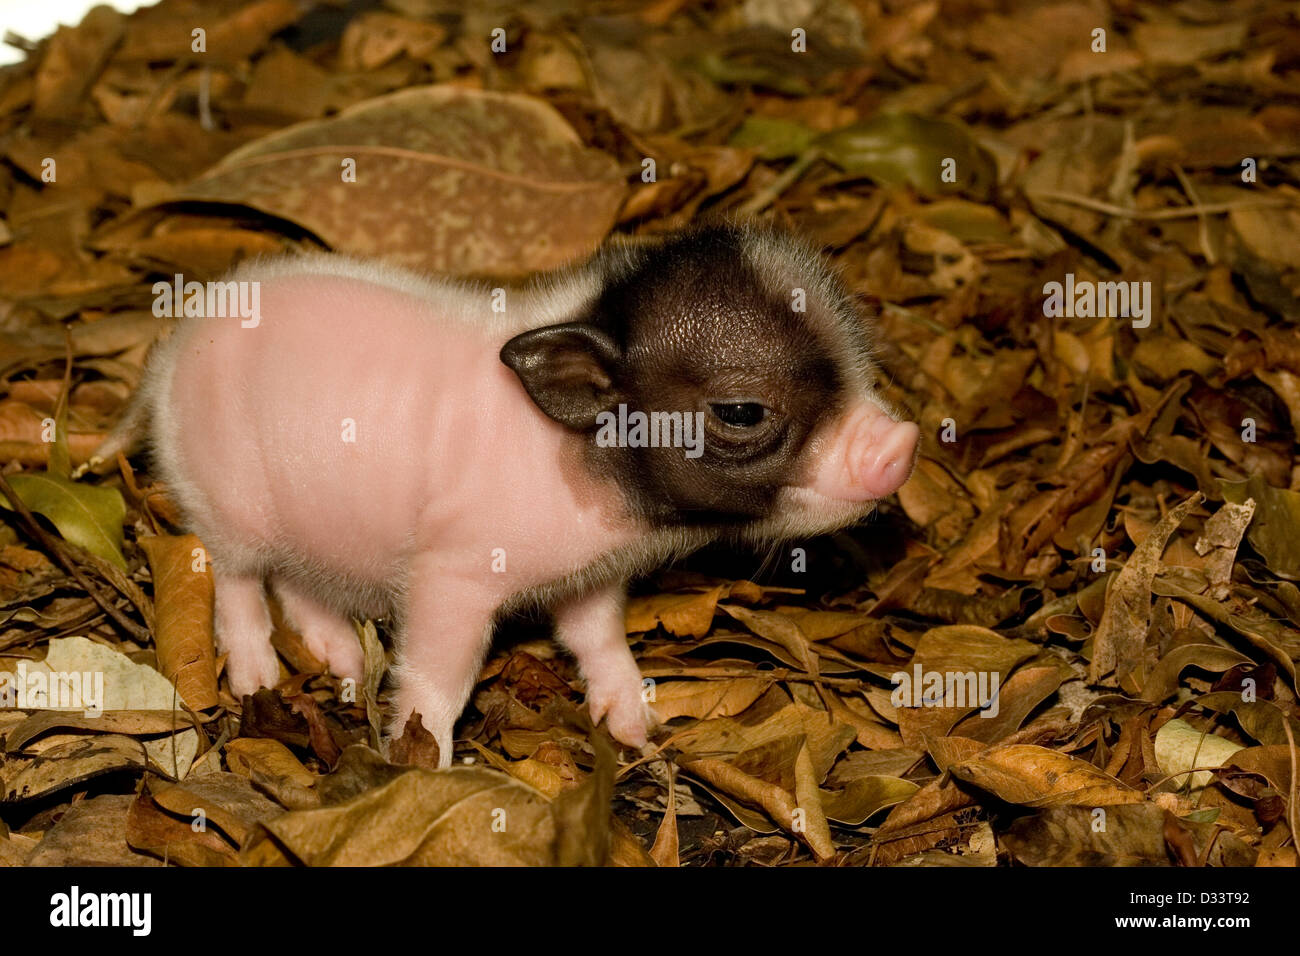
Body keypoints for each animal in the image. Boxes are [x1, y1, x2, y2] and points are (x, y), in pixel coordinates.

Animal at [117, 222, 919, 767]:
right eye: (743, 412)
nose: (904, 441)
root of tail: (169, 358)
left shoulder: (590, 576)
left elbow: (597, 634)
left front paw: (636, 725)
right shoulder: (452, 570)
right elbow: (438, 675)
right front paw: (427, 762)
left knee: (297, 581)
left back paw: (342, 659)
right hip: (226, 500)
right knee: (237, 579)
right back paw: (259, 677)